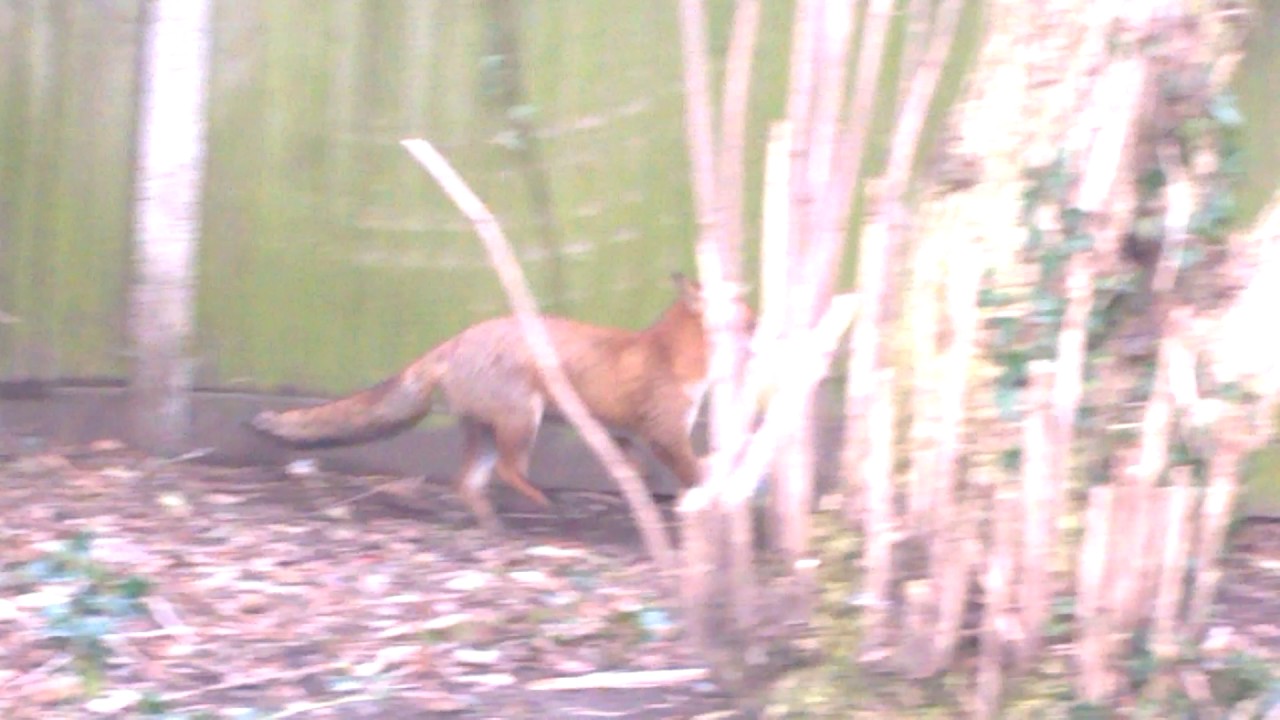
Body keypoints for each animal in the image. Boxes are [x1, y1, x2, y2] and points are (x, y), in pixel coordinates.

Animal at [249, 273, 751, 532]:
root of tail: (452, 342)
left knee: (466, 483)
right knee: (510, 472)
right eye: (743, 313)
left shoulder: (618, 429)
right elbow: (692, 474)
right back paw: (543, 504)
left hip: (487, 432)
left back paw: (492, 528)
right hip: (521, 420)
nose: (759, 321)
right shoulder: (665, 431)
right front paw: (708, 499)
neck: (672, 355)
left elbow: (637, 467)